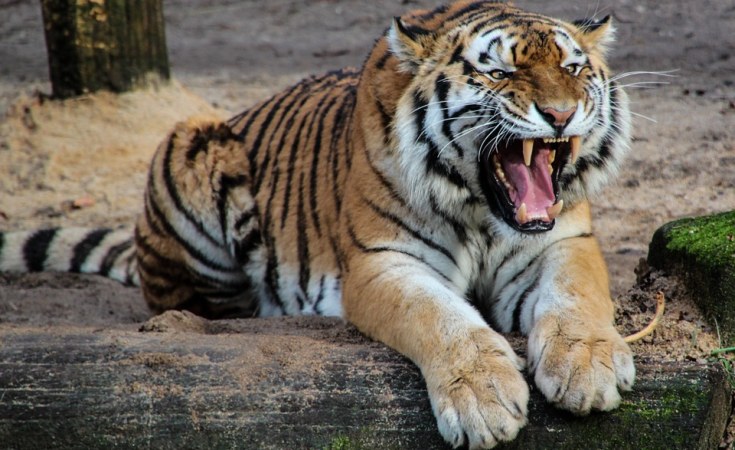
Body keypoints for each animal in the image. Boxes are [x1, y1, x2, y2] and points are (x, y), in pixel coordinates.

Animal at [0, 1, 636, 448]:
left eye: (572, 67)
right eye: (500, 72)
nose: (560, 114)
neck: (482, 210)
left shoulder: (563, 241)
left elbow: (577, 296)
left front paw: (588, 367)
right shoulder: (382, 262)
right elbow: (440, 318)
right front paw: (483, 398)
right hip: (191, 144)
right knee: (191, 304)